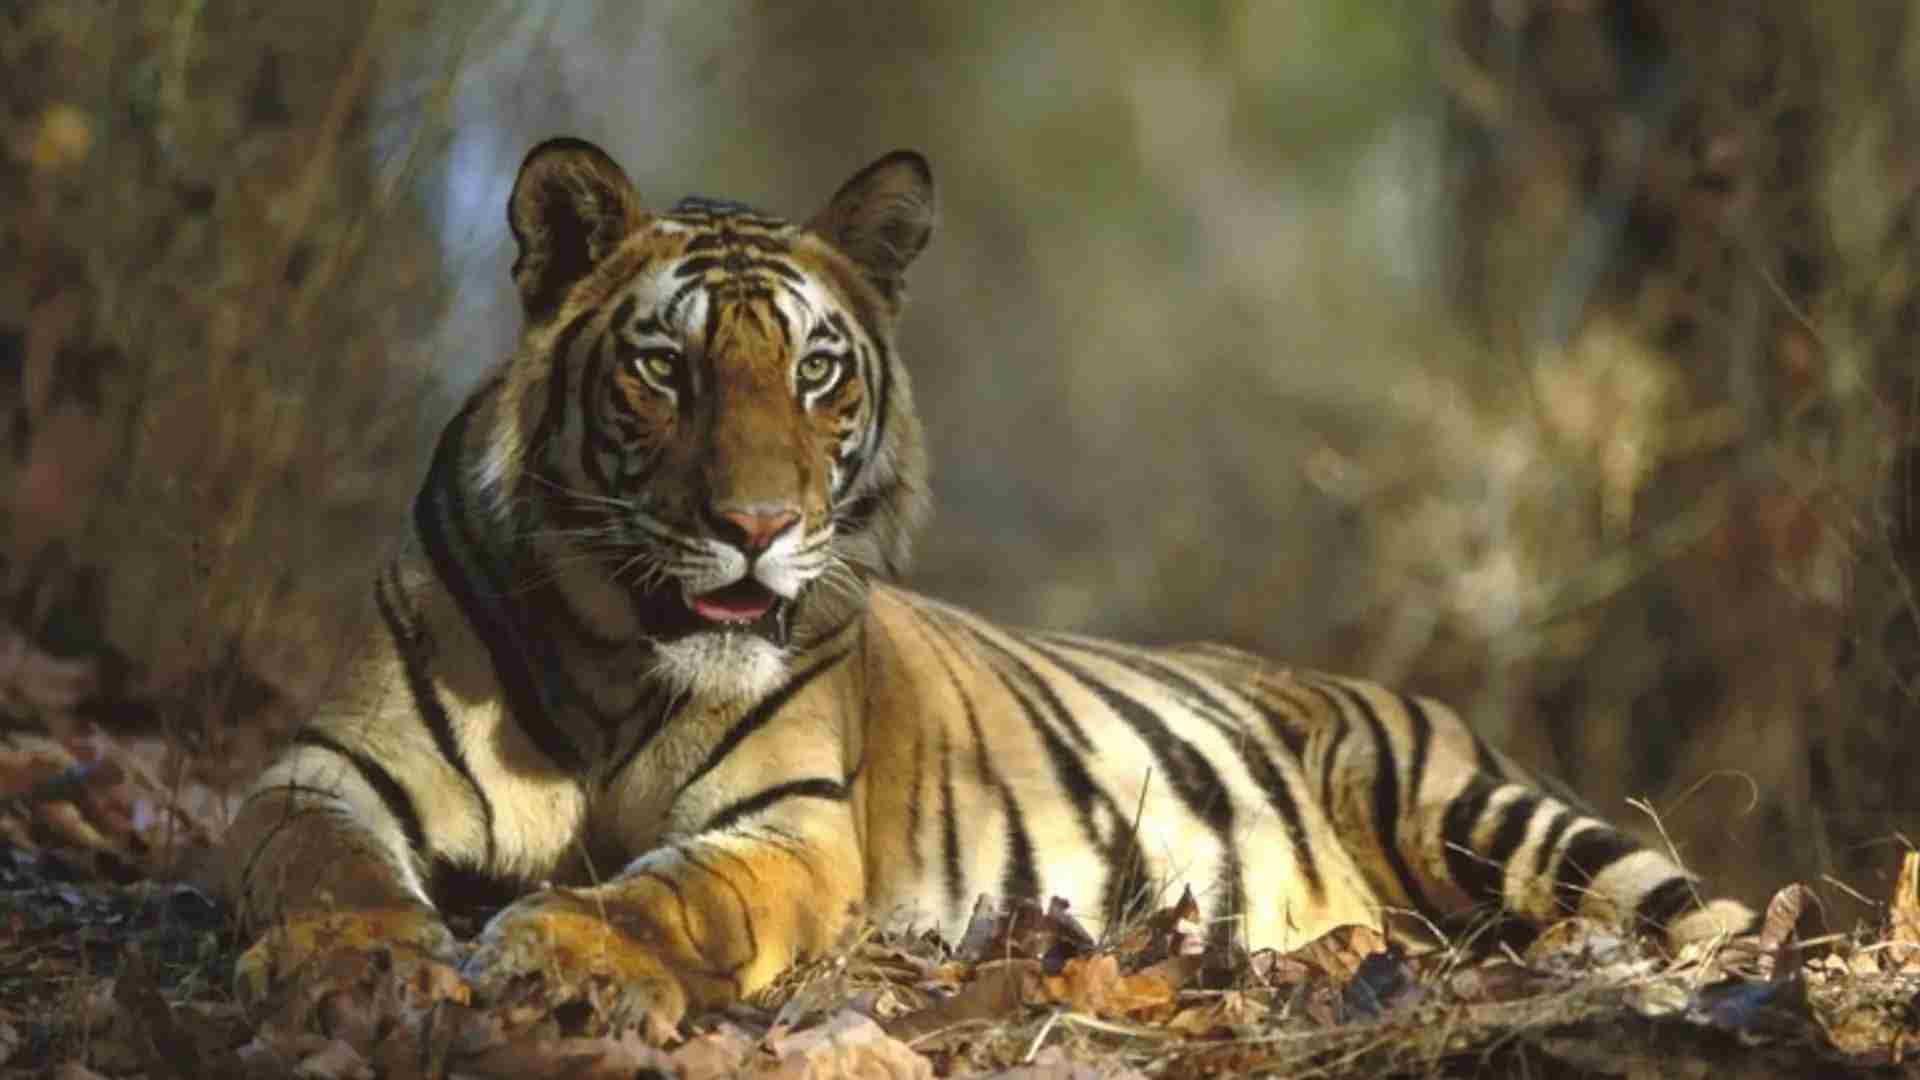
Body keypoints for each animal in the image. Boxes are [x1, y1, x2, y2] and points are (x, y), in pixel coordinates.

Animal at [223, 136, 1758, 1025]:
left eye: (816, 369)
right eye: (664, 367)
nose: (759, 525)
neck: (616, 656)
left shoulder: (788, 825)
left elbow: (665, 896)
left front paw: (550, 948)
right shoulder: (324, 770)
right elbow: (312, 865)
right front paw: (356, 960)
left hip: (1494, 818)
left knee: (1708, 920)